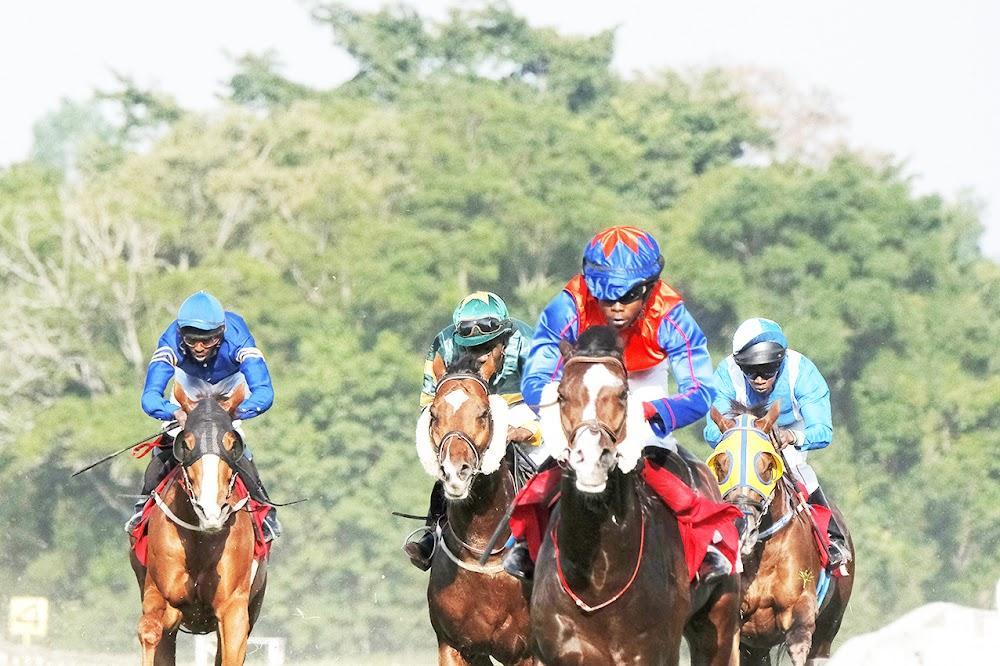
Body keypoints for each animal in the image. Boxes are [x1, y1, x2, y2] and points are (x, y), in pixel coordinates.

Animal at [130, 384, 267, 666]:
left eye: (231, 444)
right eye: (187, 443)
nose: (210, 511)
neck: (201, 541)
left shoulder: (234, 608)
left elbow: (232, 651)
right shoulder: (161, 595)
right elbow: (150, 630)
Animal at [415, 350, 532, 665]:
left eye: (483, 413)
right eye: (434, 414)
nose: (456, 473)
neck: (485, 554)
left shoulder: (527, 651)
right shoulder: (456, 646)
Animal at [529, 326, 740, 665]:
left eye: (623, 394)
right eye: (561, 395)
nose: (590, 459)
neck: (600, 577)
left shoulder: (654, 651)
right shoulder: (556, 650)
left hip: (719, 619)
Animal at [707, 403, 855, 666]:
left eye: (768, 466)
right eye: (721, 465)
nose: (744, 525)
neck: (761, 558)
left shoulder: (800, 612)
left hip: (828, 628)